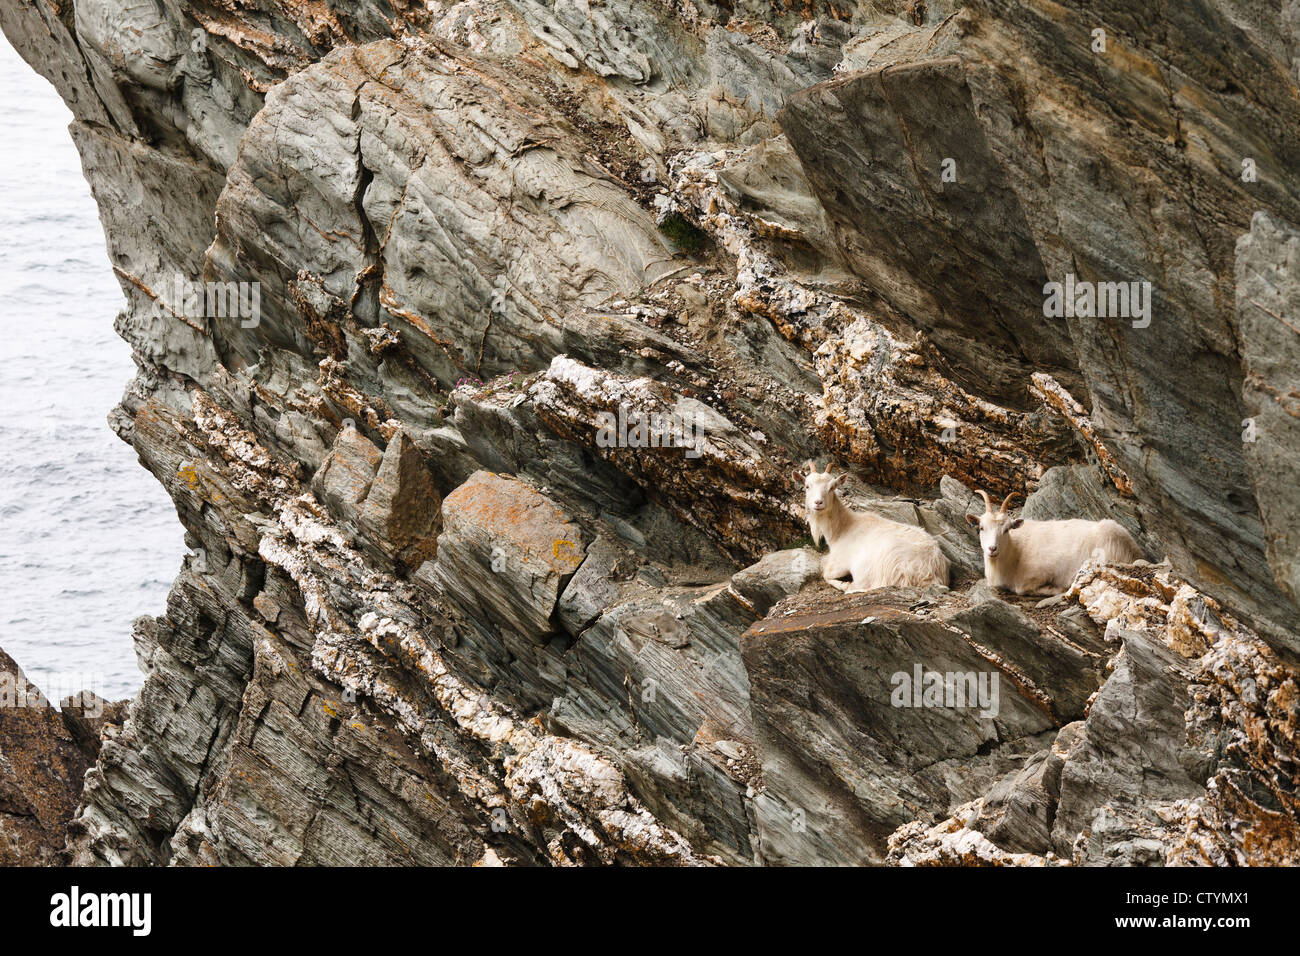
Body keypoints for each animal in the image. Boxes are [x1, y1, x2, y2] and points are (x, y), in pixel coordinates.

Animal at [803, 462, 949, 591]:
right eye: (807, 486)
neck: (843, 529)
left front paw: (844, 585)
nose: (818, 503)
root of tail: (931, 571)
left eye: (832, 487)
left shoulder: (839, 563)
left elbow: (825, 573)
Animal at [966, 490, 1143, 595]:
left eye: (1007, 529)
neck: (1015, 552)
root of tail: (1134, 550)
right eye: (981, 528)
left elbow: (1022, 589)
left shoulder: (1040, 572)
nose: (992, 548)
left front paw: (1055, 588)